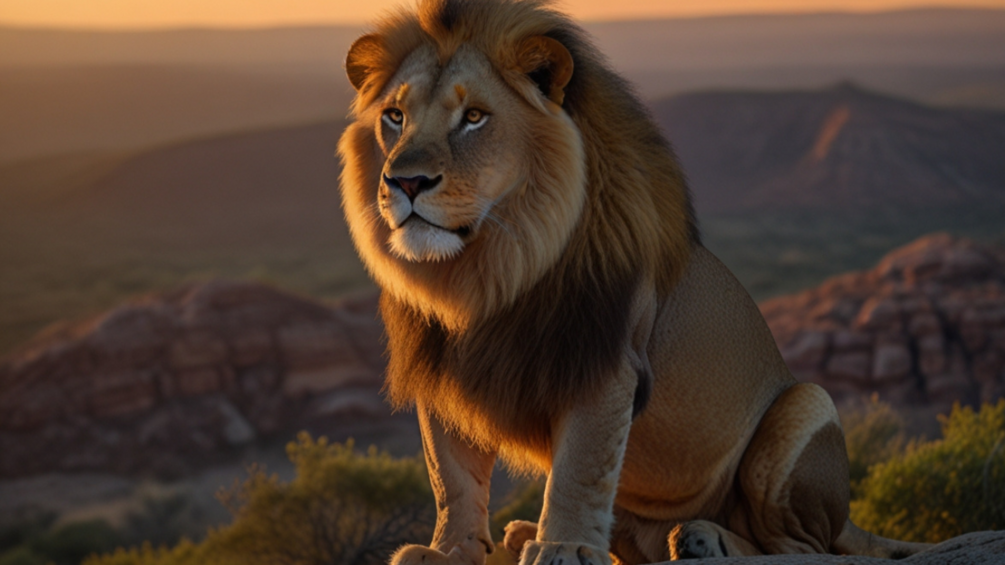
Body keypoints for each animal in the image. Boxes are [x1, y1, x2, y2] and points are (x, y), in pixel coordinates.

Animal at [337, 0, 931, 563]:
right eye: (394, 116)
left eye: (475, 117)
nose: (405, 181)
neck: (486, 274)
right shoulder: (443, 371)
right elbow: (452, 480)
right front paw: (447, 552)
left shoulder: (603, 362)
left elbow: (578, 469)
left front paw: (564, 547)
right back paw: (526, 532)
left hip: (805, 405)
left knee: (797, 547)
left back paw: (702, 538)